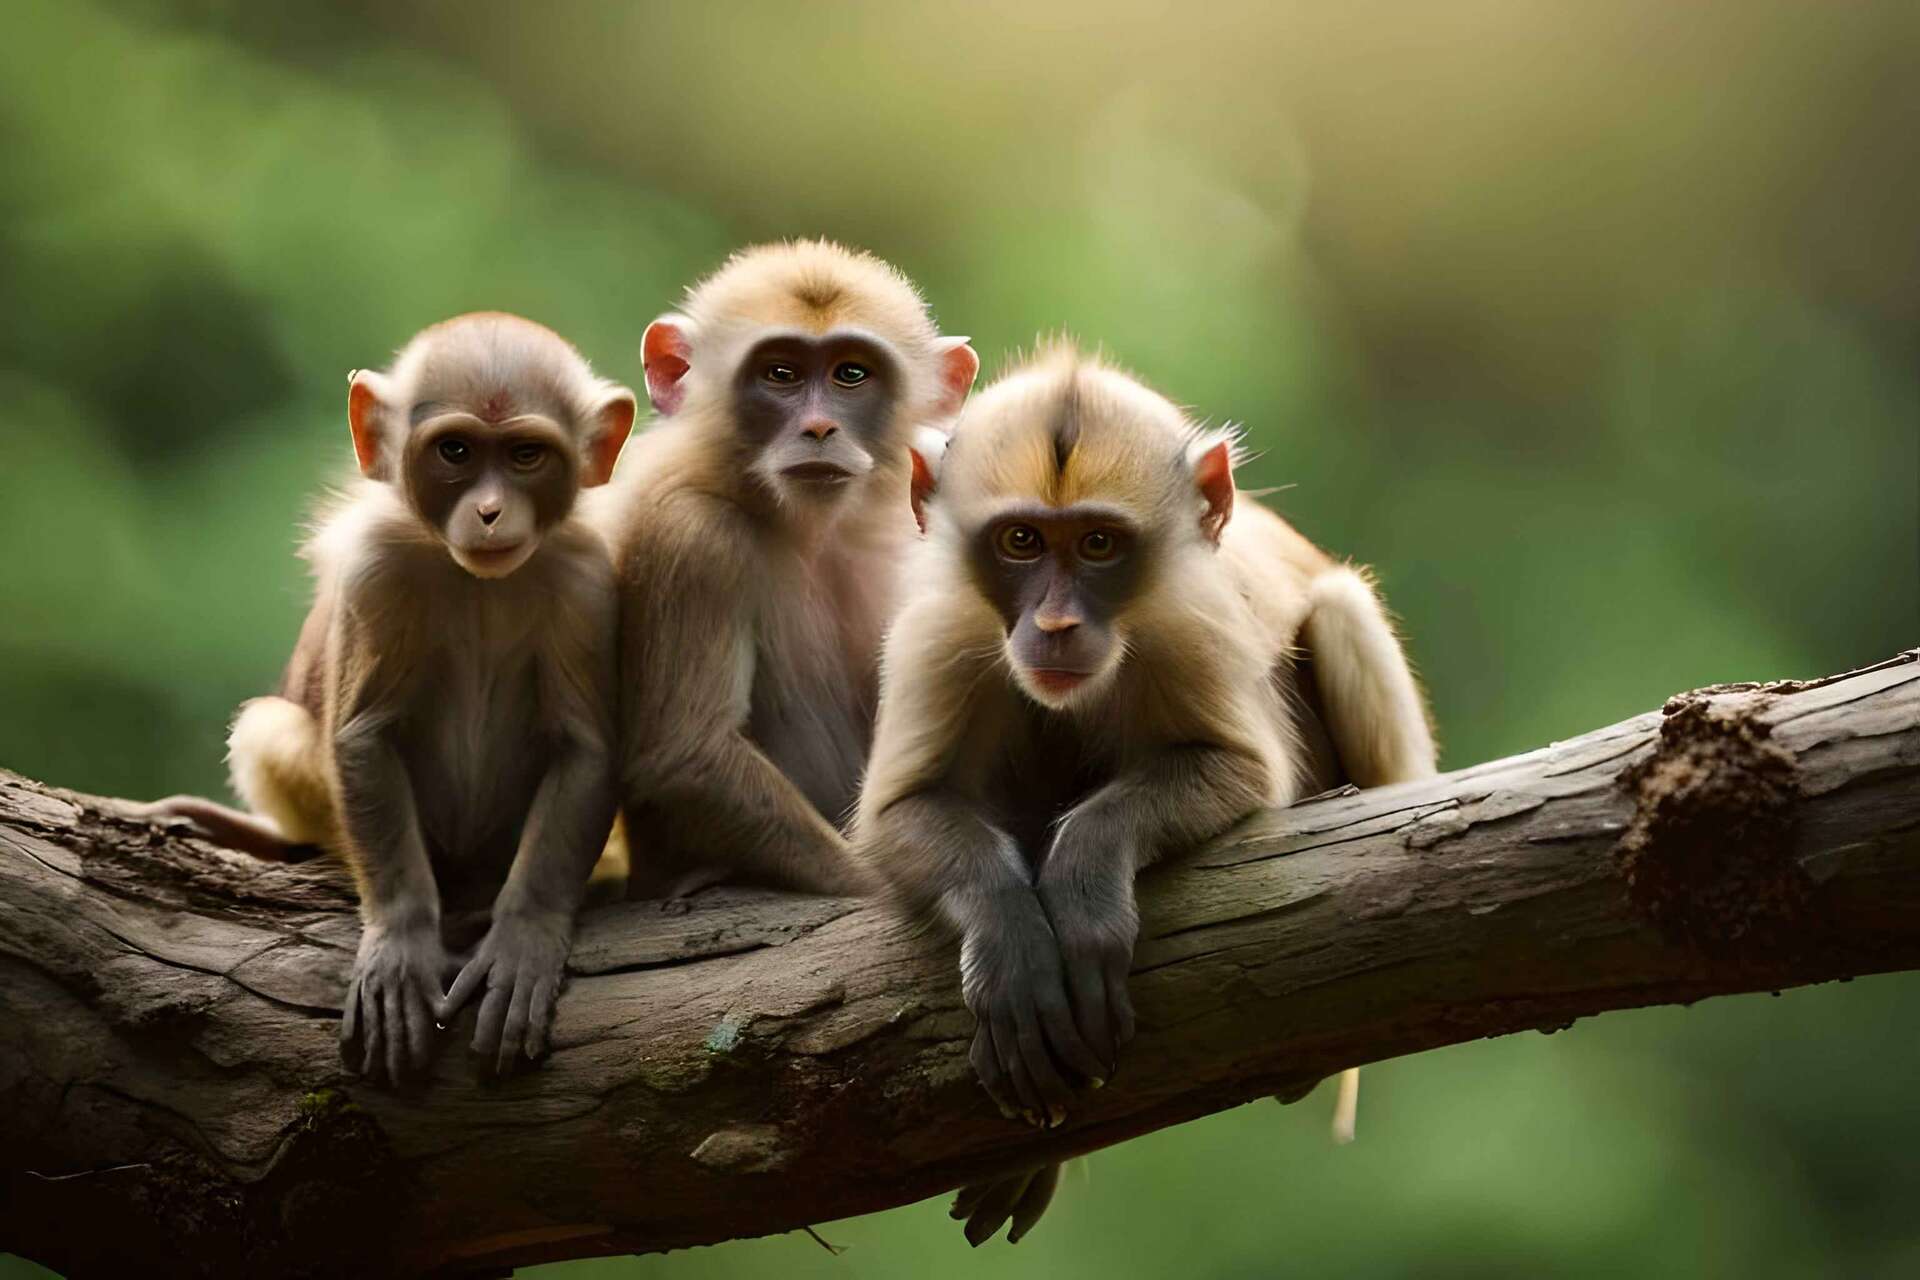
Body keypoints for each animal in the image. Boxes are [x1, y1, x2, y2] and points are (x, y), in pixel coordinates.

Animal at [140, 313, 636, 1086]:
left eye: (526, 455)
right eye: (455, 451)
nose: (489, 511)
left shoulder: (589, 580)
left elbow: (588, 751)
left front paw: (525, 934)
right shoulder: (377, 568)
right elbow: (362, 737)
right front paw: (402, 941)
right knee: (271, 727)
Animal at [851, 343, 1436, 1239]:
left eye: (1098, 544)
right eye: (1021, 541)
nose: (1056, 625)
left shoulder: (1188, 625)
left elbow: (1243, 771)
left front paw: (1083, 882)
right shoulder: (940, 631)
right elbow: (894, 817)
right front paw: (1013, 934)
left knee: (1340, 610)